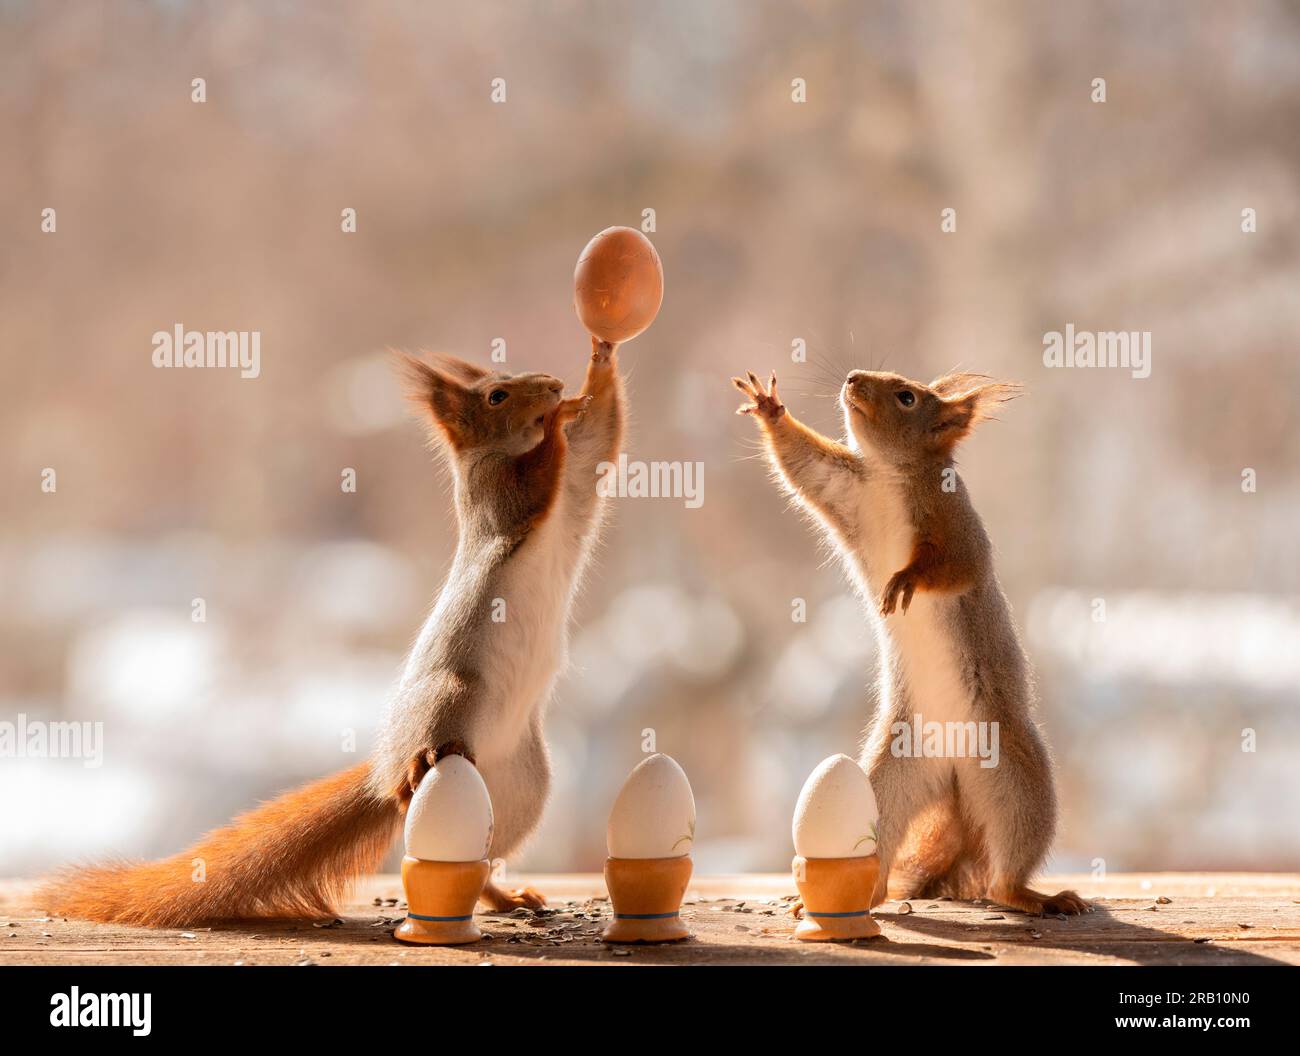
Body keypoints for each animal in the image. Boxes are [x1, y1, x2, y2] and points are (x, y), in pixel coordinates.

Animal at [39, 337, 625, 926]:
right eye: (497, 396)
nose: (552, 384)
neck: (499, 454)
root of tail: (384, 769)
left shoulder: (576, 492)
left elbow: (598, 444)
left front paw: (599, 361)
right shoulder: (499, 498)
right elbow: (536, 482)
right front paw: (557, 418)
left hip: (524, 790)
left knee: (479, 858)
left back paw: (507, 897)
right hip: (452, 698)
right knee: (418, 790)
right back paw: (418, 770)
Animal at [733, 367, 1088, 916]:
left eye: (906, 397)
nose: (852, 378)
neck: (889, 475)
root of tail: (956, 783)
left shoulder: (958, 523)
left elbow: (956, 565)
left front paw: (906, 580)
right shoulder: (843, 489)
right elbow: (803, 465)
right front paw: (770, 409)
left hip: (1018, 783)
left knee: (1006, 874)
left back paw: (1035, 896)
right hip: (890, 779)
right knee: (880, 860)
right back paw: (855, 897)